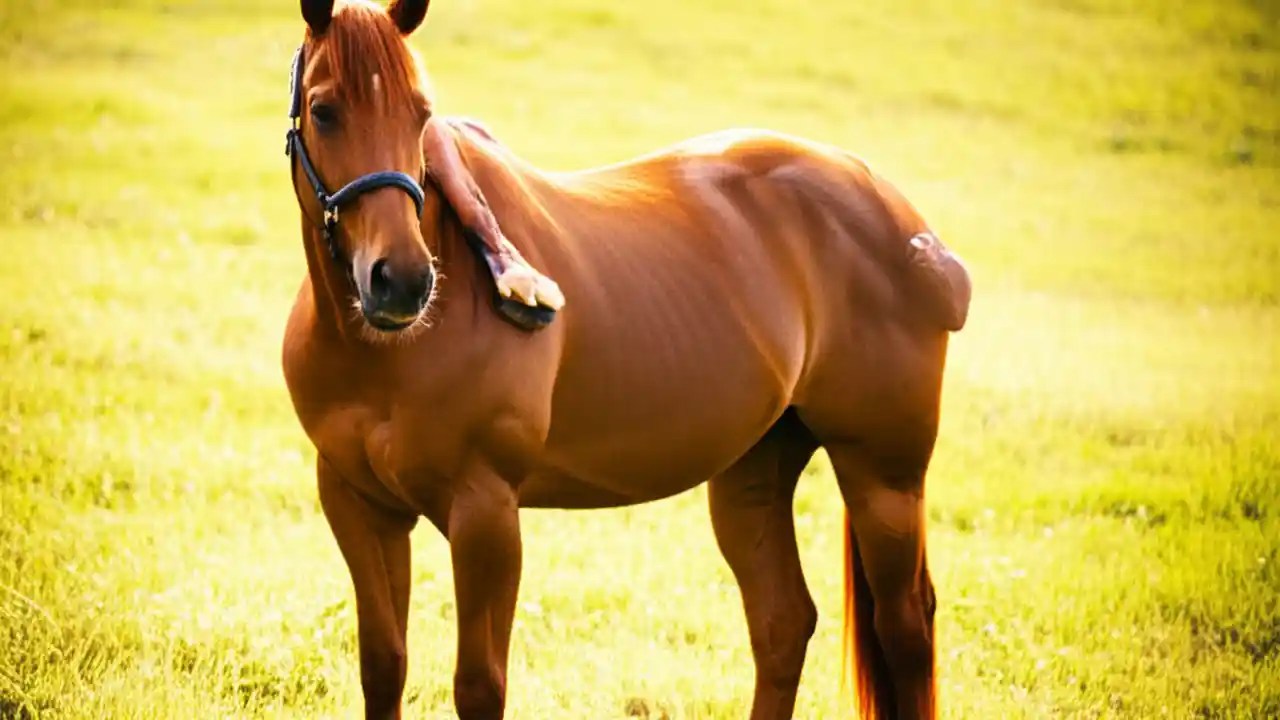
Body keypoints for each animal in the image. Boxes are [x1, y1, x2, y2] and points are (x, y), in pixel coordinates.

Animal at [279, 1, 972, 718]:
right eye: (324, 110)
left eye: (421, 110)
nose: (403, 282)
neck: (391, 349)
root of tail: (901, 218)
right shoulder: (359, 504)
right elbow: (383, 666)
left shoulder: (485, 515)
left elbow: (479, 685)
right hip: (754, 474)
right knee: (782, 622)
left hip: (883, 477)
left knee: (905, 627)